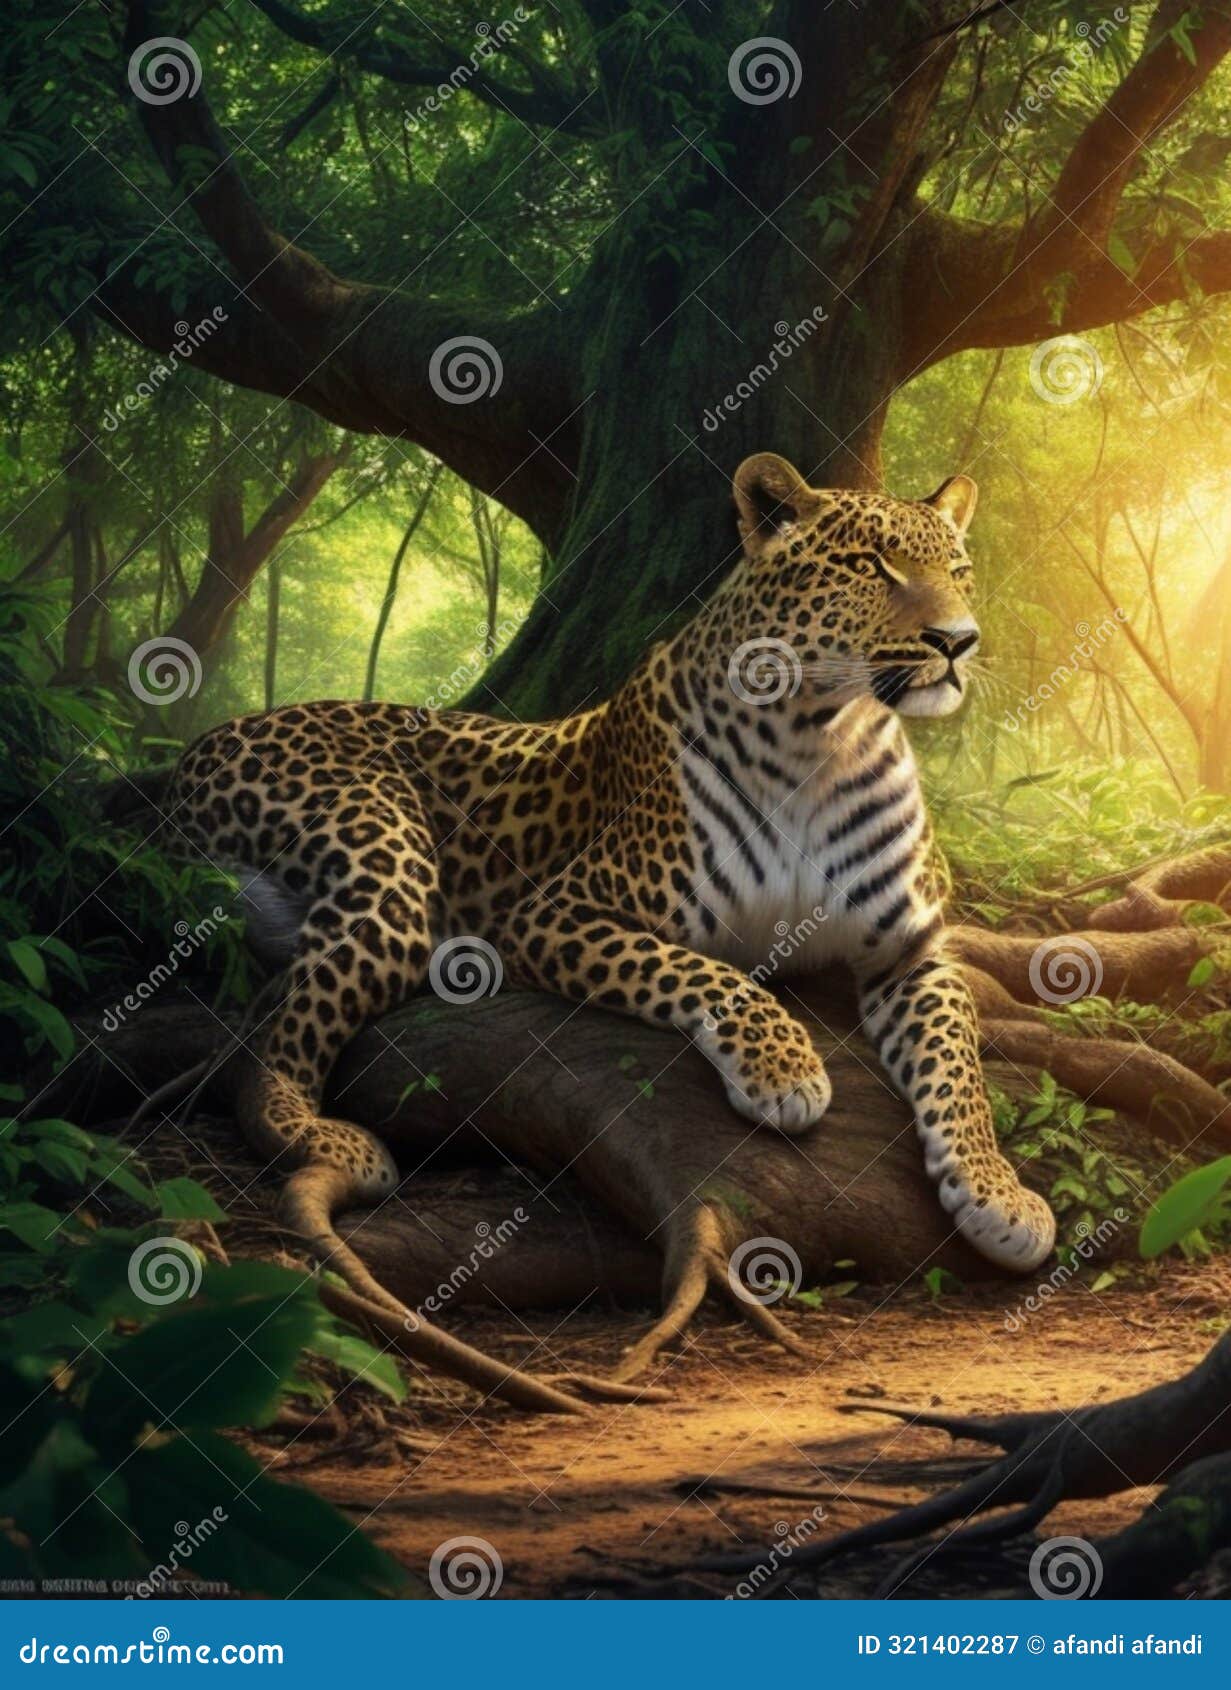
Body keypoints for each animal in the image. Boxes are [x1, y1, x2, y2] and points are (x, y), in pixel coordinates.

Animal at [165, 451, 1055, 1308]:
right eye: (872, 565)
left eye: (959, 569)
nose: (958, 639)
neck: (825, 743)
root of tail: (210, 736)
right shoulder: (557, 912)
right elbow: (706, 972)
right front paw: (783, 1068)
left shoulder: (912, 955)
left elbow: (959, 1066)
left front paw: (999, 1196)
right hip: (385, 858)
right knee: (276, 1032)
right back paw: (323, 1136)